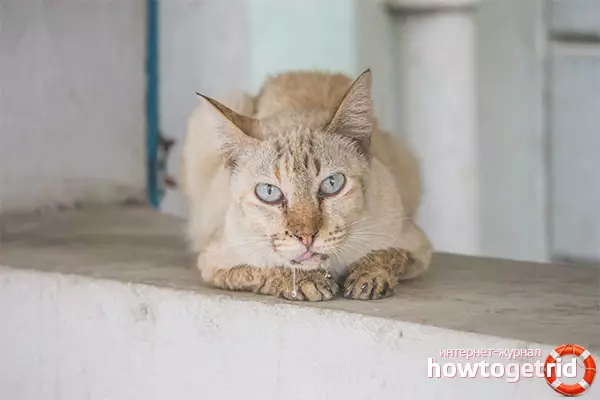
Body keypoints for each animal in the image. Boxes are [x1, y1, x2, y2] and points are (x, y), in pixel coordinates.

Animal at [180, 69, 434, 300]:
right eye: (269, 192)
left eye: (332, 184)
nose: (306, 237)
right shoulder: (215, 262)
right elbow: (269, 268)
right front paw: (308, 282)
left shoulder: (416, 247)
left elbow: (384, 255)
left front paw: (367, 278)